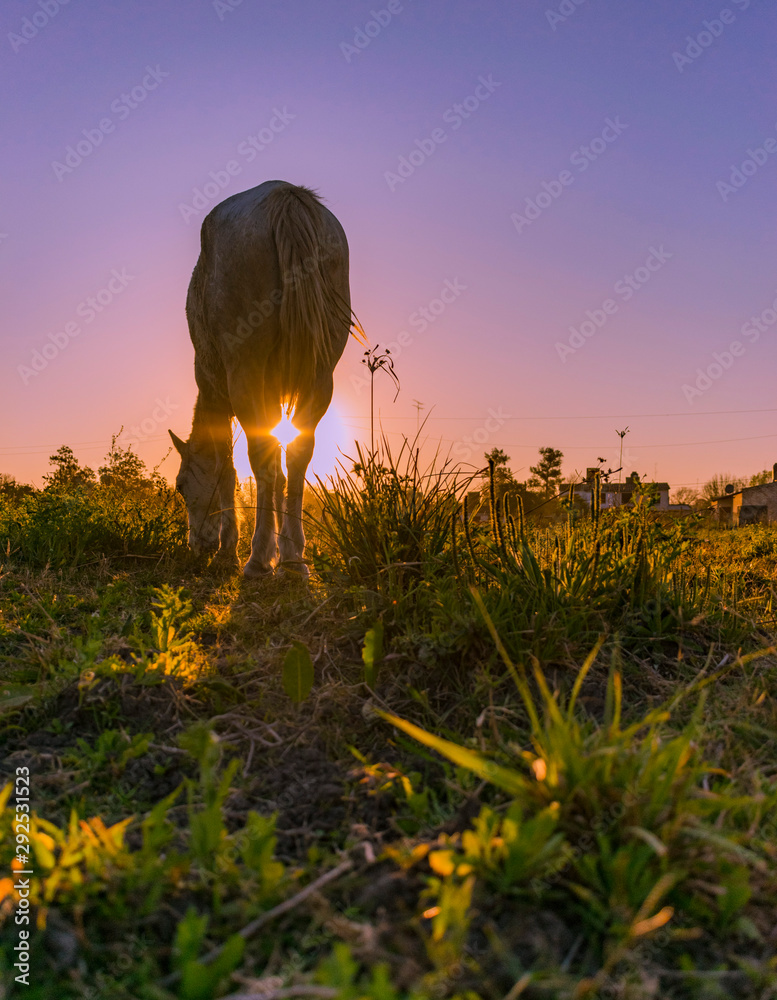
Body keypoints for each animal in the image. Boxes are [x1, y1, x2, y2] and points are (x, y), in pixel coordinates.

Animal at [169, 180, 353, 578]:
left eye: (180, 486)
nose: (196, 546)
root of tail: (284, 195)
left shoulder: (217, 398)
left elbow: (228, 470)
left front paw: (229, 550)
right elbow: (279, 473)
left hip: (246, 374)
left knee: (263, 453)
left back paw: (257, 560)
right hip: (320, 378)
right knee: (298, 453)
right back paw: (293, 559)